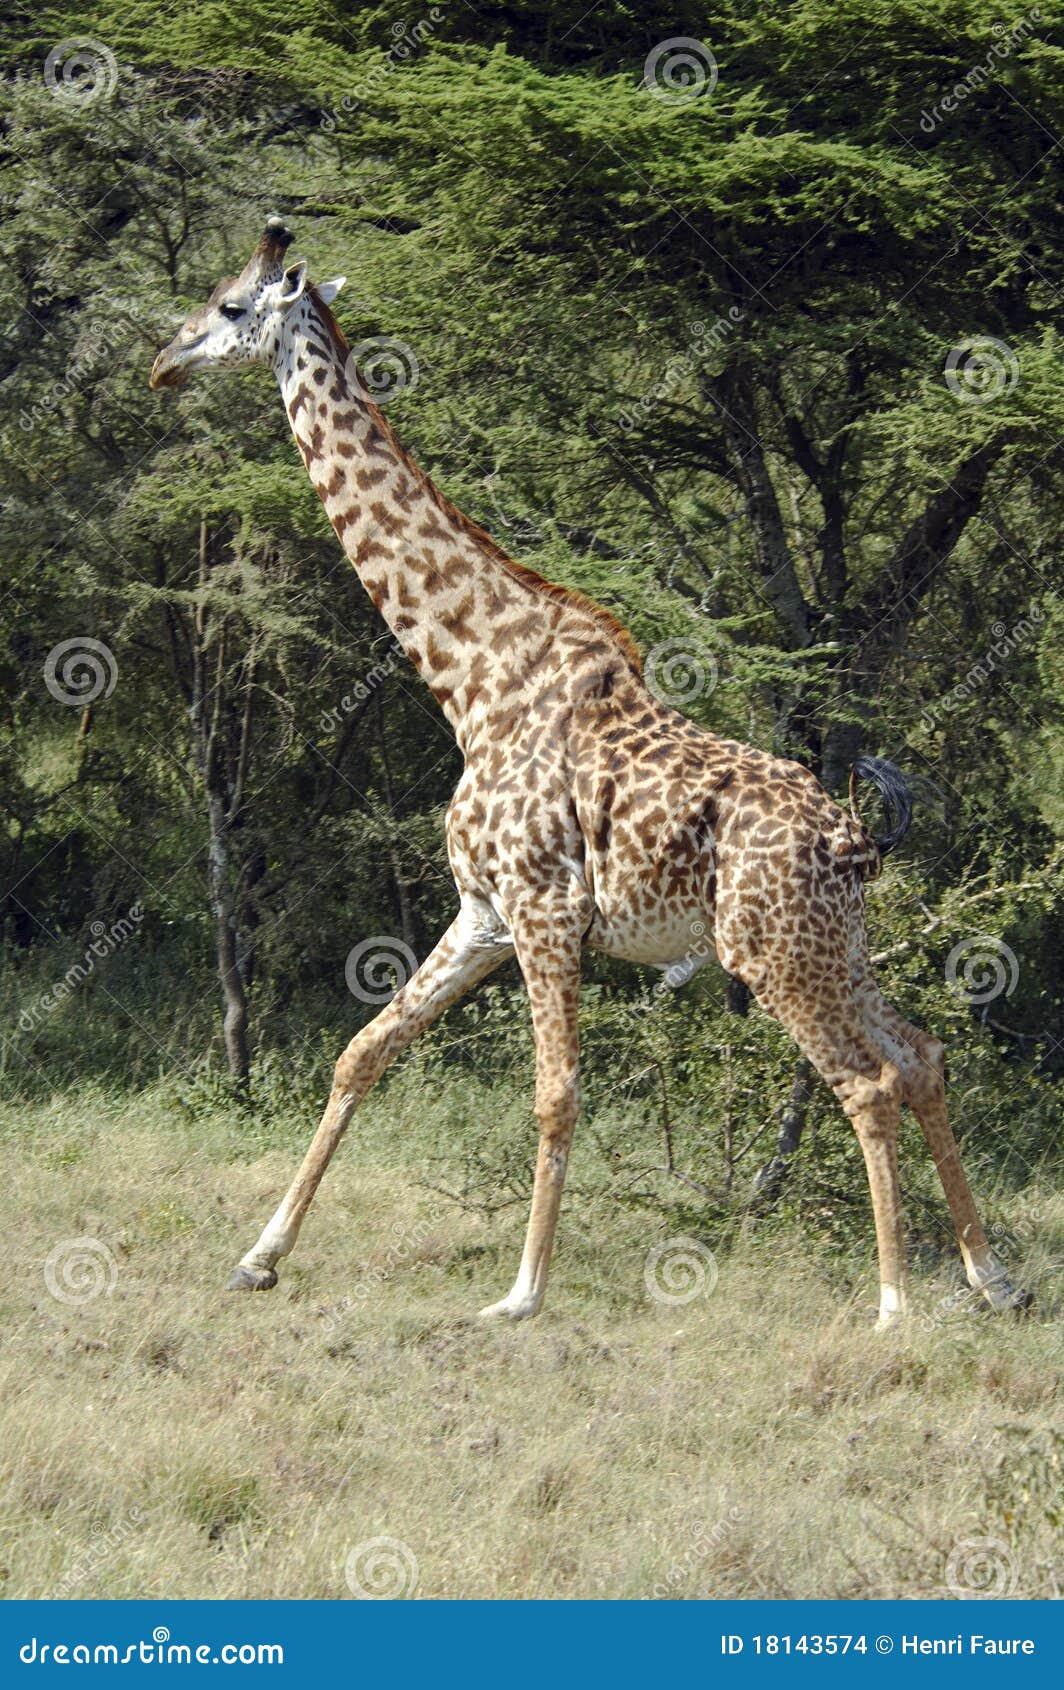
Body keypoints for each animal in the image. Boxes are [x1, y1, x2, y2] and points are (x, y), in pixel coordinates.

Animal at [150, 218, 1030, 1329]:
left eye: (230, 305)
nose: (165, 361)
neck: (469, 676)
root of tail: (856, 839)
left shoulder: (544, 907)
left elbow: (554, 1092)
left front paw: (521, 1291)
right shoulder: (482, 911)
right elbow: (365, 1051)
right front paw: (259, 1257)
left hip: (769, 952)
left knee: (865, 1082)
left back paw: (892, 1303)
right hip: (836, 946)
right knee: (920, 1056)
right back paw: (990, 1276)